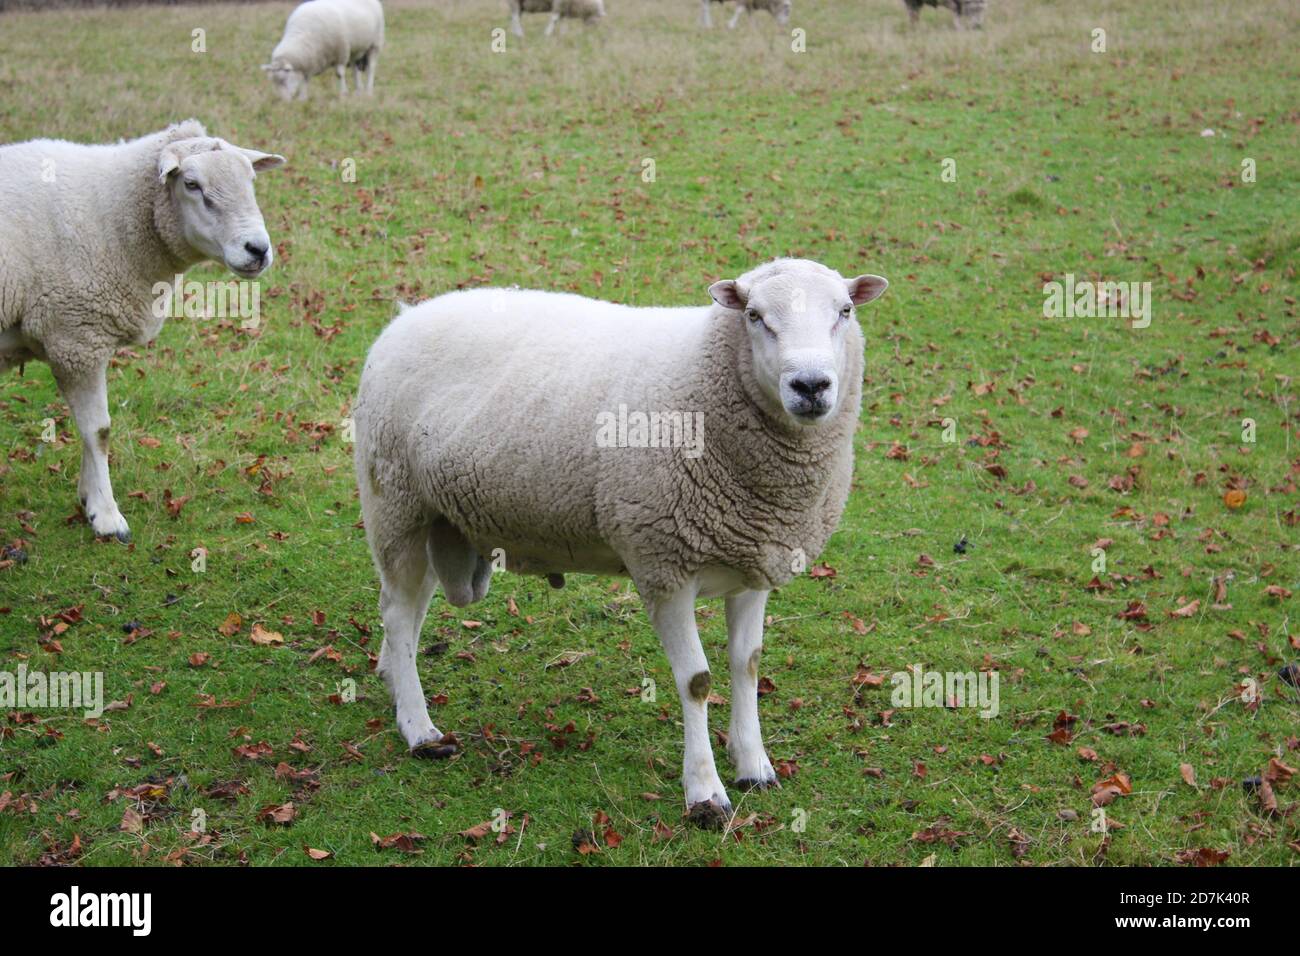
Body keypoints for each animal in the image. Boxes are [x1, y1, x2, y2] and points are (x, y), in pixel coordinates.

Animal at [0, 120, 285, 542]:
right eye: (192, 185)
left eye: (251, 179)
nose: (258, 249)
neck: (112, 215)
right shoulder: (76, 335)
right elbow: (98, 431)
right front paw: (106, 515)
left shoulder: (79, 339)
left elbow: (90, 429)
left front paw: (88, 497)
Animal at [353, 258, 888, 825]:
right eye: (754, 316)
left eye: (845, 311)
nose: (811, 385)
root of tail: (405, 317)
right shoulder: (663, 565)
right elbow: (697, 681)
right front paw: (705, 792)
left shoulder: (753, 563)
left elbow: (747, 665)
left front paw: (754, 766)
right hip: (395, 502)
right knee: (397, 613)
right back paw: (419, 729)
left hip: (435, 516)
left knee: (408, 610)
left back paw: (395, 682)